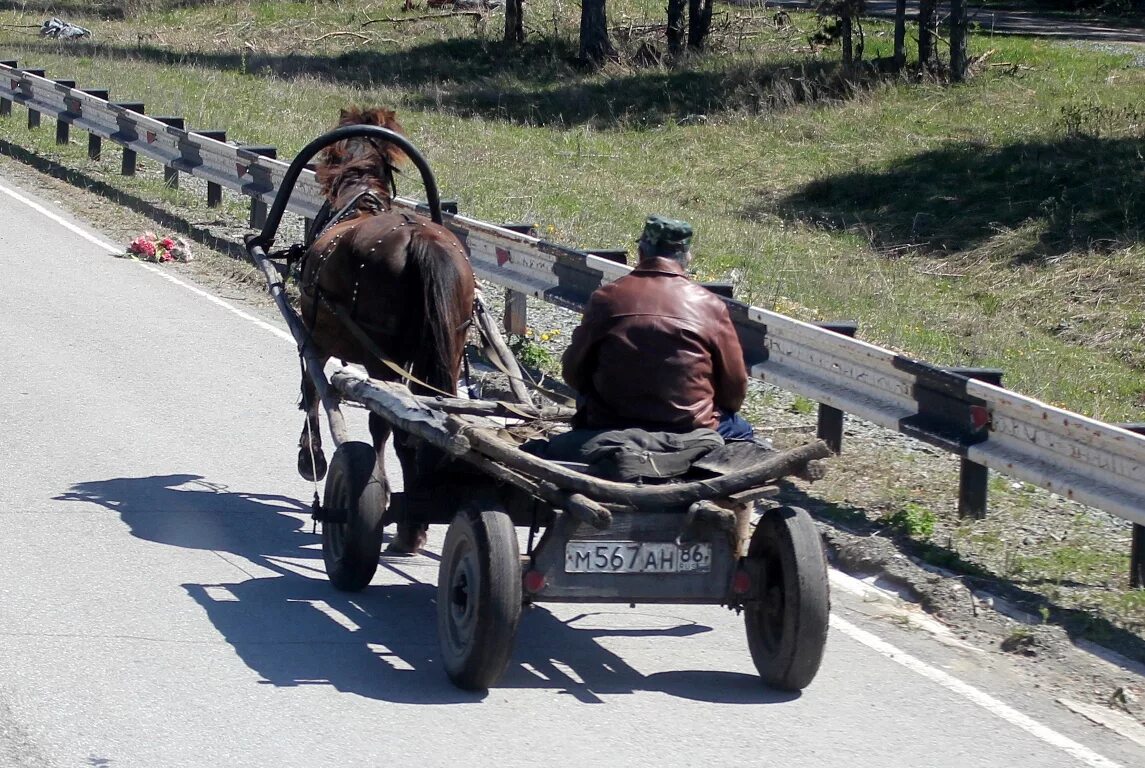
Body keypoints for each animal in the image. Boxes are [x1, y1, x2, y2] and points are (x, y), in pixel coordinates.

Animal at [299, 106, 474, 553]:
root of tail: (421, 240)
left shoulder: (314, 335)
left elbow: (312, 389)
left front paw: (311, 458)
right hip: (447, 350)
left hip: (383, 357)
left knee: (389, 425)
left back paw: (401, 519)